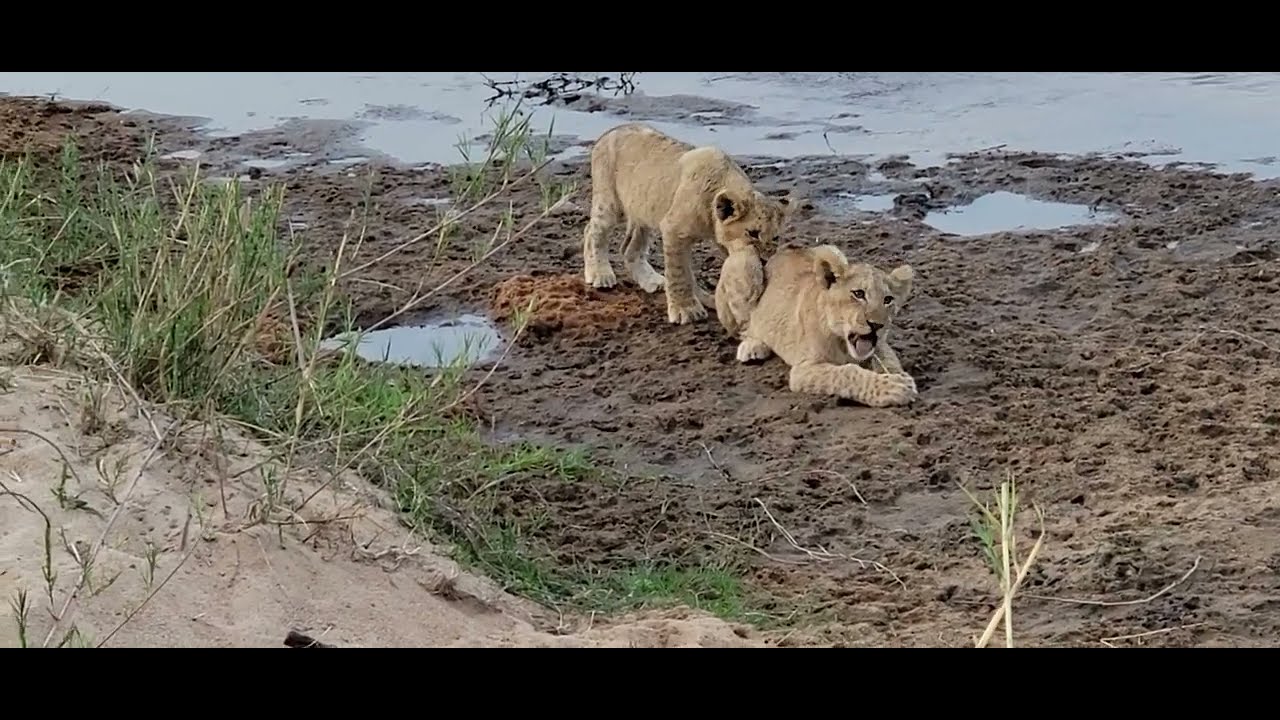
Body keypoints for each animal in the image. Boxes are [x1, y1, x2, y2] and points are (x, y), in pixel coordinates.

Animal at [580, 122, 794, 325]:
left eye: (775, 237)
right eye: (752, 233)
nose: (765, 260)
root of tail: (610, 132)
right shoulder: (674, 230)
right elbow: (679, 273)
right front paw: (687, 310)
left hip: (644, 209)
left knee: (629, 247)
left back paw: (651, 281)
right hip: (611, 202)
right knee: (591, 230)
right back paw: (600, 274)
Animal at [736, 243, 918, 408]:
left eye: (888, 300)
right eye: (858, 294)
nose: (877, 325)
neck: (843, 344)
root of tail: (783, 251)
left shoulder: (879, 345)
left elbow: (889, 359)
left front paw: (901, 377)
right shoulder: (803, 370)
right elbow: (847, 372)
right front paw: (894, 387)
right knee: (746, 325)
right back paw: (752, 347)